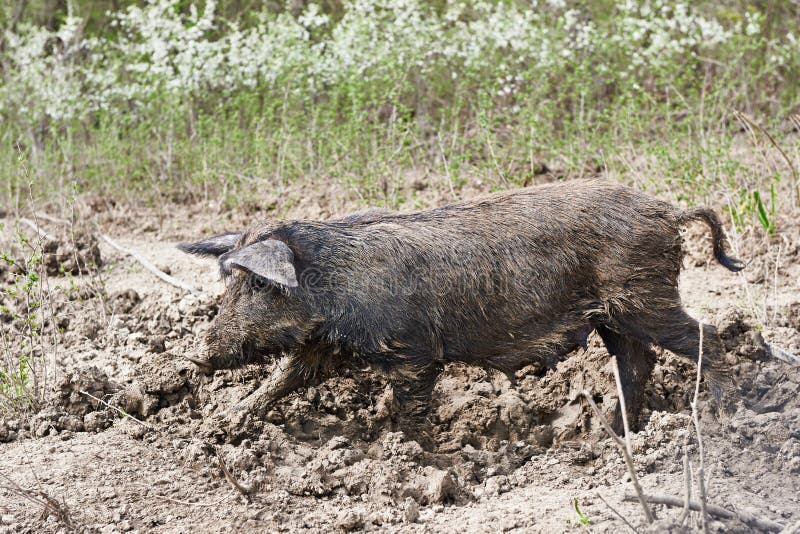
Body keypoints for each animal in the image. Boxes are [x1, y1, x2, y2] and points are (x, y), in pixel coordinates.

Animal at [179, 179, 743, 444]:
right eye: (228, 282)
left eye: (257, 283)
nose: (196, 357)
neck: (334, 290)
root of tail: (669, 211)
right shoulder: (324, 345)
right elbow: (283, 378)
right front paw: (225, 421)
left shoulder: (411, 351)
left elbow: (410, 408)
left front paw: (409, 452)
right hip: (613, 313)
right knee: (637, 361)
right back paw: (608, 429)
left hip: (643, 297)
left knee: (708, 335)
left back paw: (720, 413)